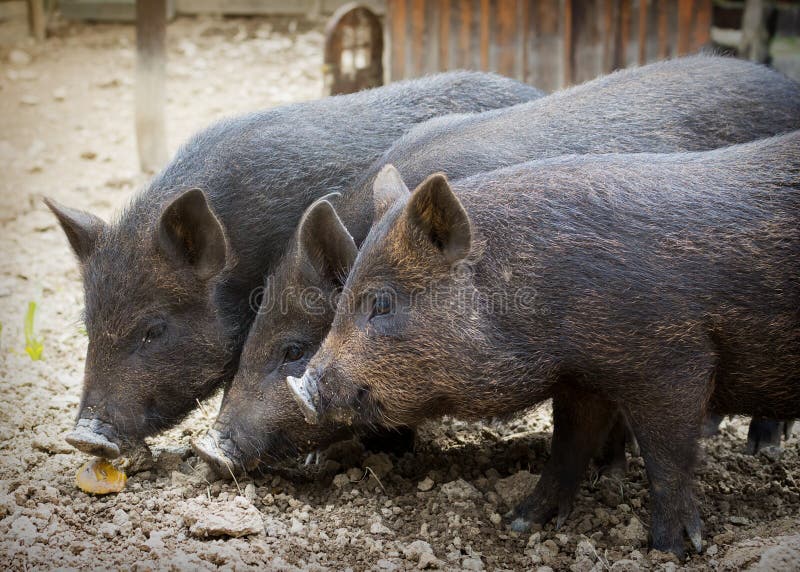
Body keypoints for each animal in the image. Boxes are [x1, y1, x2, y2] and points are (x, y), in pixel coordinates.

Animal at [288, 130, 800, 557]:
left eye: (381, 303)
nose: (308, 387)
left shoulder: (676, 361)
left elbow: (667, 458)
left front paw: (673, 550)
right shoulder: (583, 378)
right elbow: (568, 446)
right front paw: (520, 524)